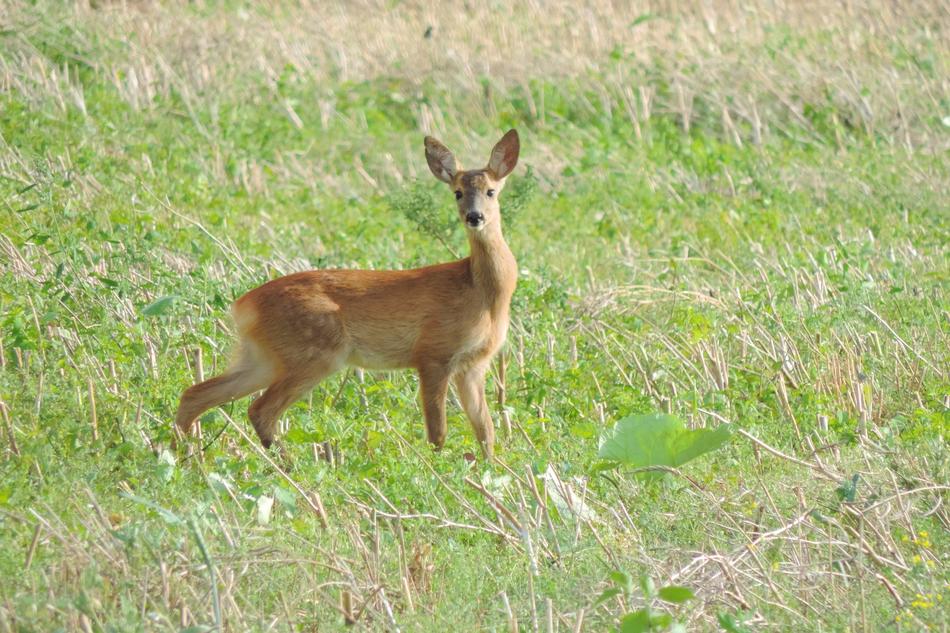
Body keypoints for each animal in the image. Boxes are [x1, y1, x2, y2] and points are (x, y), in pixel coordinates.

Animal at [174, 129, 520, 459]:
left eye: (491, 191)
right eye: (457, 192)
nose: (474, 217)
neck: (481, 293)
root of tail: (244, 306)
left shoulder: (474, 364)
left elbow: (486, 430)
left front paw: (488, 469)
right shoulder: (433, 353)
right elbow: (438, 433)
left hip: (264, 357)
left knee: (195, 394)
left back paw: (184, 457)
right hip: (314, 352)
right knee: (260, 410)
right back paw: (290, 466)